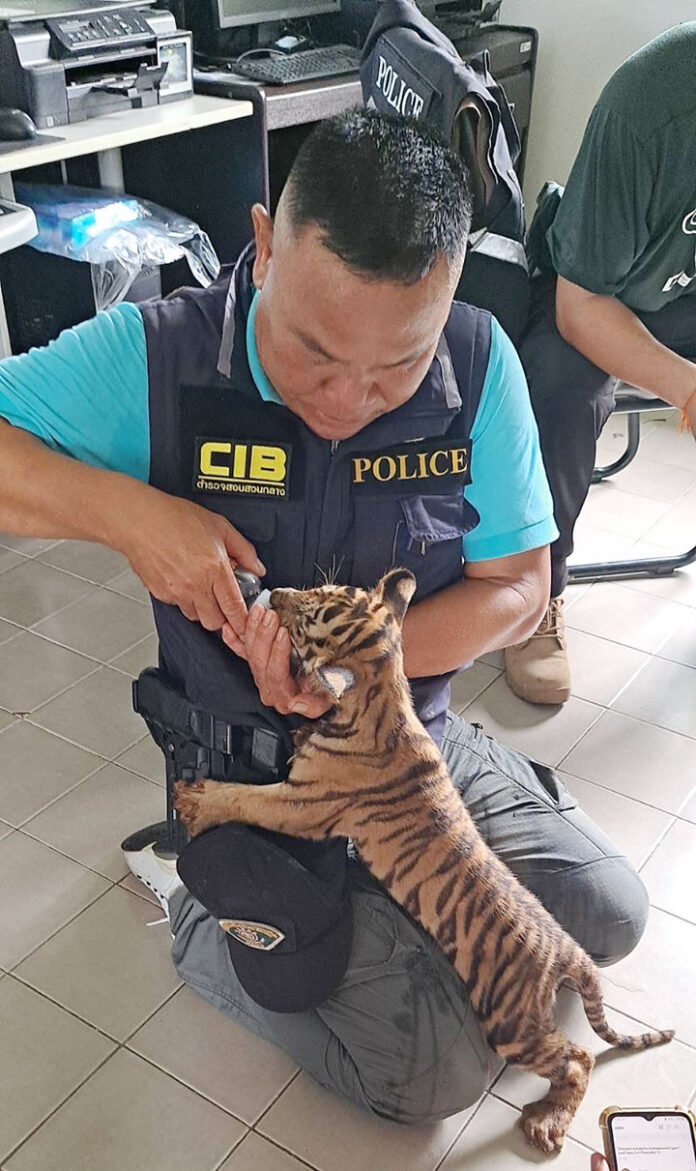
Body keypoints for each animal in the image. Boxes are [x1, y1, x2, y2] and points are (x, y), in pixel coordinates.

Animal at [173, 568, 673, 1154]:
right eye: (324, 589)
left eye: (306, 623)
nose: (273, 592)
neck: (381, 691)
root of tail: (568, 951)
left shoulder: (304, 804)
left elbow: (247, 799)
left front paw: (198, 798)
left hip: (510, 1021)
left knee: (576, 1059)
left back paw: (546, 1122)